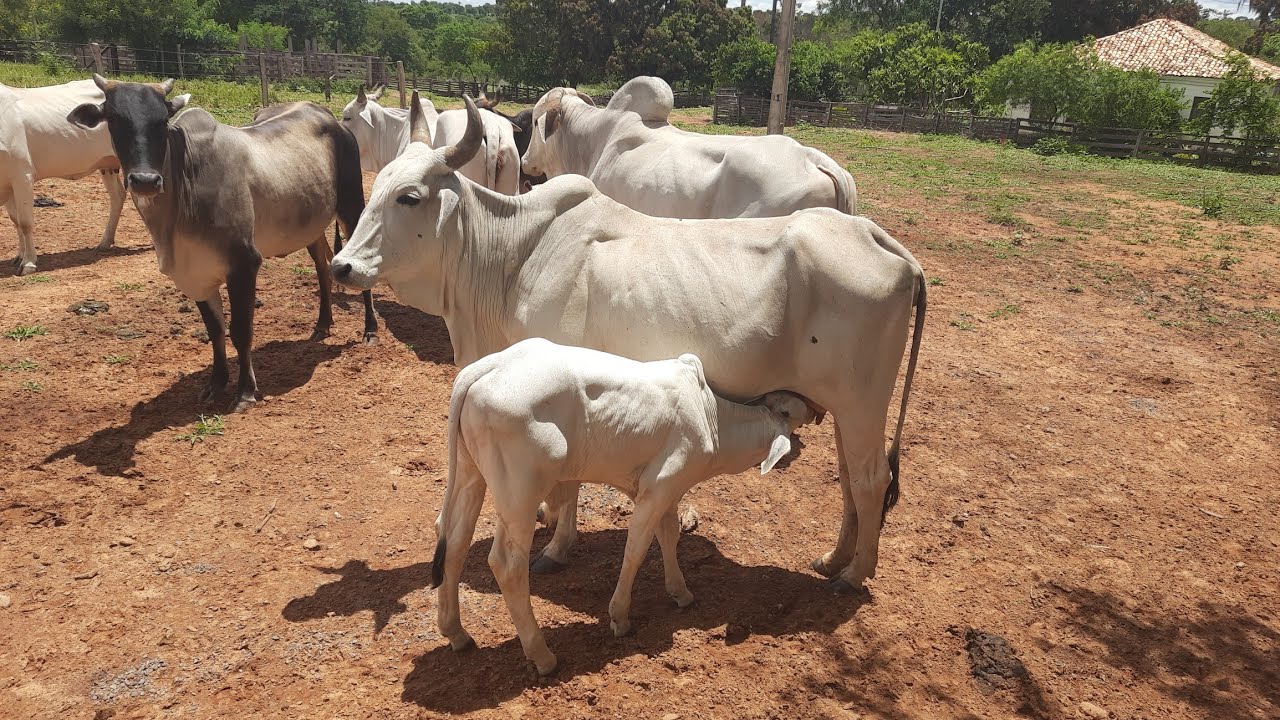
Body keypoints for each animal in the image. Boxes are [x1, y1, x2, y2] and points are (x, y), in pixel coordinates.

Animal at [1, 78, 127, 275]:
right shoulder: (7, 182)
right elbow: (16, 222)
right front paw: (19, 257)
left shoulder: (23, 176)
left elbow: (25, 222)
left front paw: (29, 262)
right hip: (107, 165)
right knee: (118, 196)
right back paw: (105, 242)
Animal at [68, 74, 374, 413]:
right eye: (113, 120)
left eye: (162, 121)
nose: (145, 181)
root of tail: (331, 119)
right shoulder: (195, 272)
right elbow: (215, 330)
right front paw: (216, 383)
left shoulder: (244, 263)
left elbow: (240, 331)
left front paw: (245, 392)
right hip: (310, 224)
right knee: (322, 263)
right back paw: (322, 323)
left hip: (351, 206)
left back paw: (370, 330)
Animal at [432, 338, 821, 674]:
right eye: (791, 412)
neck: (711, 417)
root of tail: (486, 367)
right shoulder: (658, 487)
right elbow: (636, 549)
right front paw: (620, 617)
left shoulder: (666, 492)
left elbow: (668, 535)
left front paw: (680, 592)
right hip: (519, 496)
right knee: (507, 566)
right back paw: (542, 655)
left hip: (470, 474)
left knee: (455, 540)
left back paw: (457, 633)